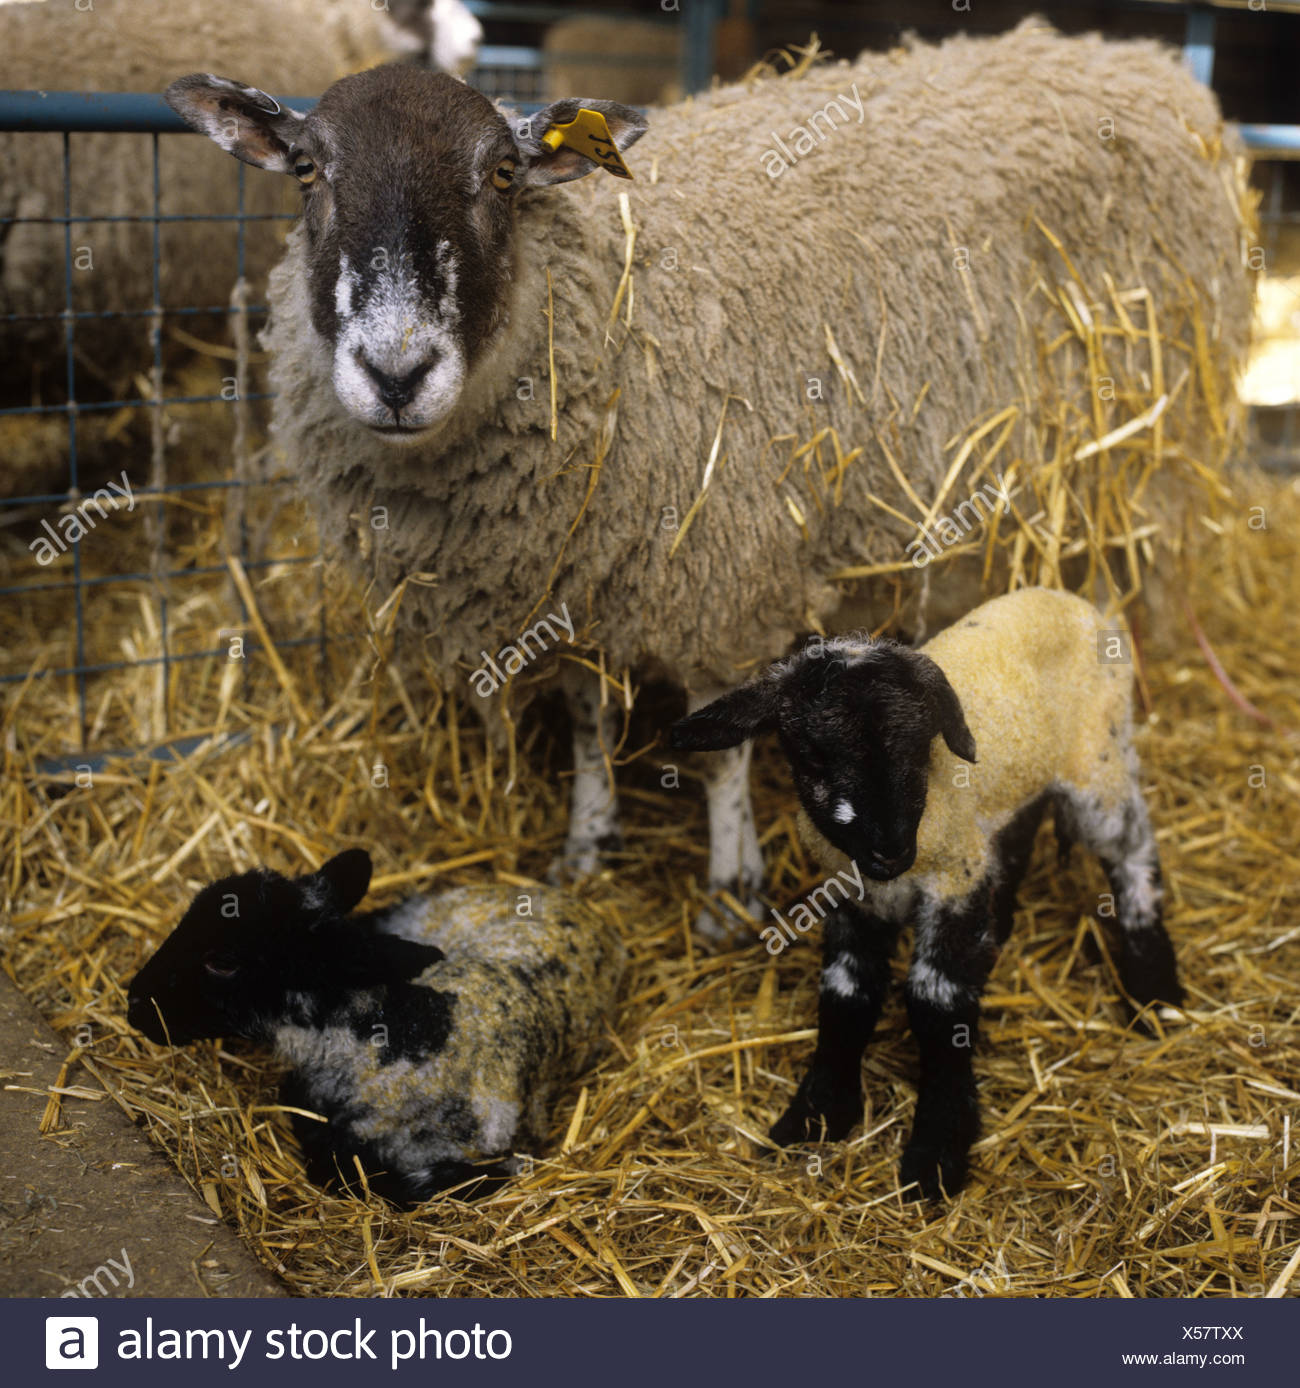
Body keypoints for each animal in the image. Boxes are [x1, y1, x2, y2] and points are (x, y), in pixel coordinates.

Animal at [160, 22, 1251, 941]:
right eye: (307, 169)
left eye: (503, 173)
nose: (396, 371)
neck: (600, 293)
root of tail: (1138, 61)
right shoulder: (578, 577)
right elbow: (589, 721)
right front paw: (585, 845)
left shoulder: (721, 578)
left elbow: (724, 746)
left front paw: (732, 887)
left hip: (1145, 460)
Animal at [669, 587, 1184, 1198]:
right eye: (814, 757)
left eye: (918, 746)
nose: (891, 852)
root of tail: (1070, 598)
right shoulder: (855, 896)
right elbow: (846, 988)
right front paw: (818, 1113)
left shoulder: (954, 879)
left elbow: (937, 999)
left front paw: (936, 1152)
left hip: (1096, 762)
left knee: (1132, 848)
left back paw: (1153, 984)